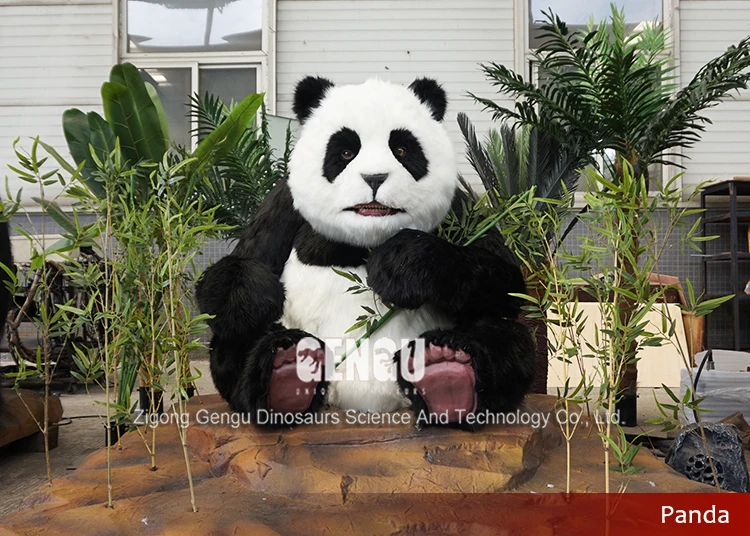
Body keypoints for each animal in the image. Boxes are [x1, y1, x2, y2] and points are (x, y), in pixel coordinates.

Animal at [196, 76, 535, 428]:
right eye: (346, 151)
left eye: (401, 149)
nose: (375, 178)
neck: (367, 239)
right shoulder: (283, 205)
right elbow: (243, 264)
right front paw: (261, 296)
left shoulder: (460, 208)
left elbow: (504, 278)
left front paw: (400, 267)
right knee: (235, 344)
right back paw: (288, 370)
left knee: (507, 339)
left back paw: (445, 370)